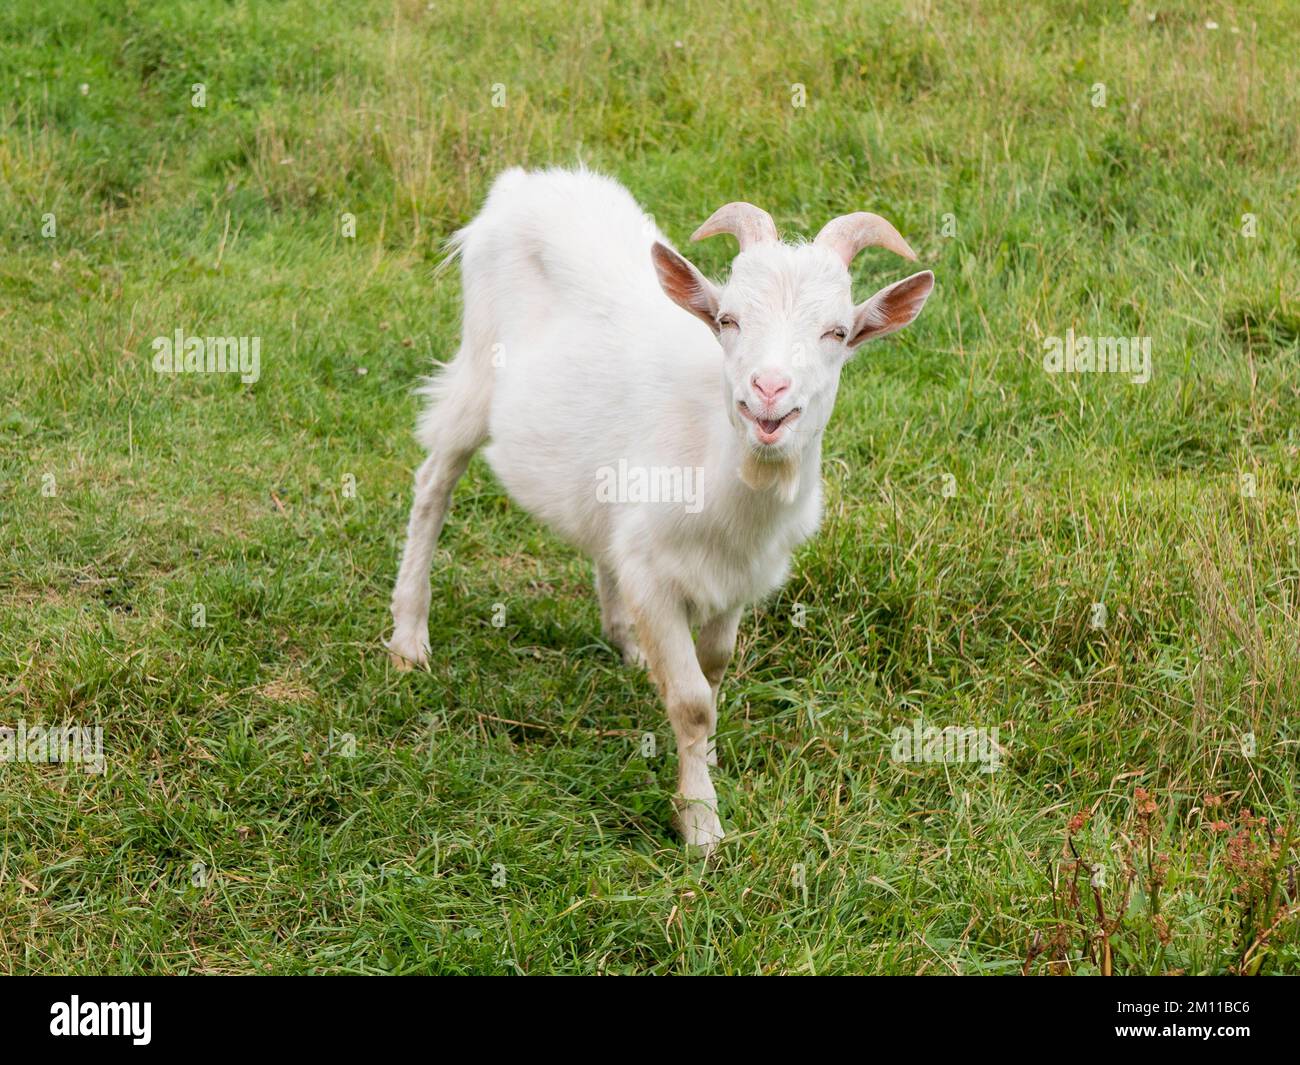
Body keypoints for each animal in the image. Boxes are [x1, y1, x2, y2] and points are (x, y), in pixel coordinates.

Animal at [388, 166, 933, 854]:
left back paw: (630, 647)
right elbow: (693, 701)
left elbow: (714, 671)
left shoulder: (735, 579)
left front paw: (710, 758)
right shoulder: (655, 574)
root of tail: (523, 183)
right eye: (727, 320)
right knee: (435, 479)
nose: (768, 391)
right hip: (476, 377)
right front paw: (701, 823)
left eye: (836, 332)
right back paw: (409, 639)